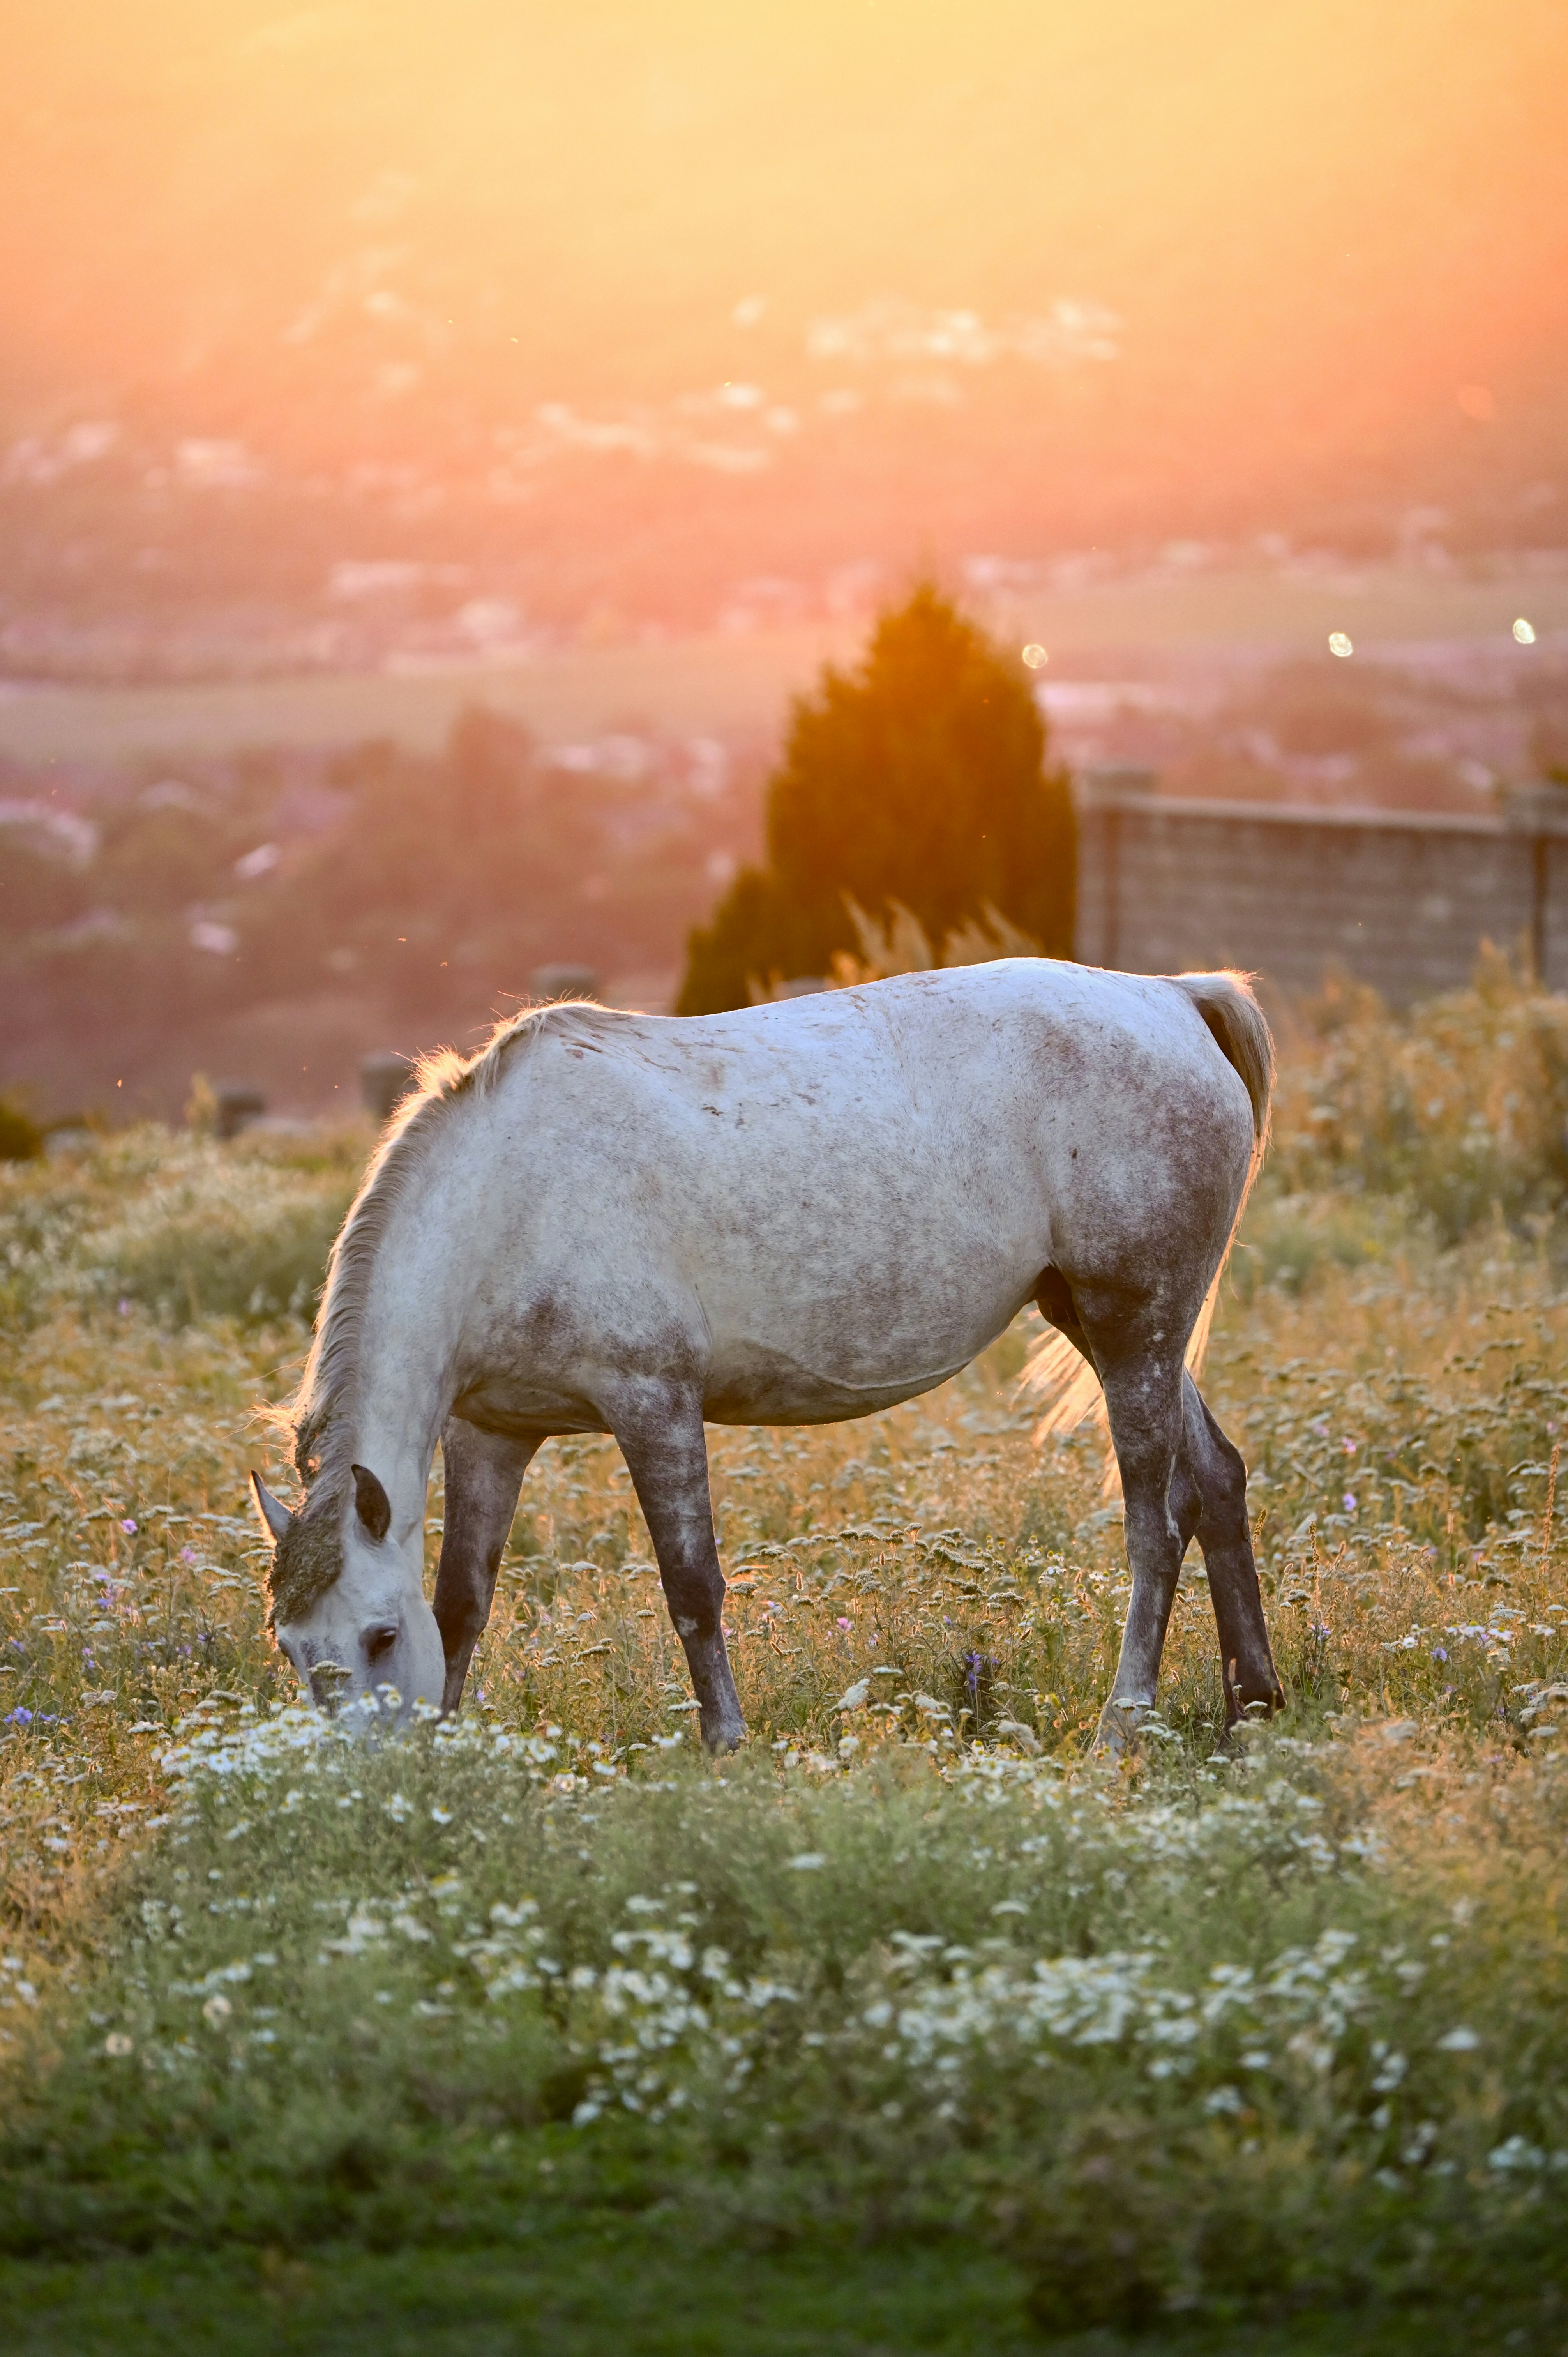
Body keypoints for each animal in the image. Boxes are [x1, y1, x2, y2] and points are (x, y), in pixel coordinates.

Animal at [249, 960, 1283, 1750]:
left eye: (381, 1636)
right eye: (294, 1649)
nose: (381, 1783)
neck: (509, 1196)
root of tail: (1173, 998)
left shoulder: (653, 1405)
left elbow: (691, 1587)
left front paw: (726, 1744)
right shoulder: (491, 1433)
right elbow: (465, 1600)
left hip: (1132, 1328)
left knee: (1155, 1519)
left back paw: (1124, 1720)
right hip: (1110, 1328)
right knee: (1215, 1479)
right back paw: (1253, 1705)